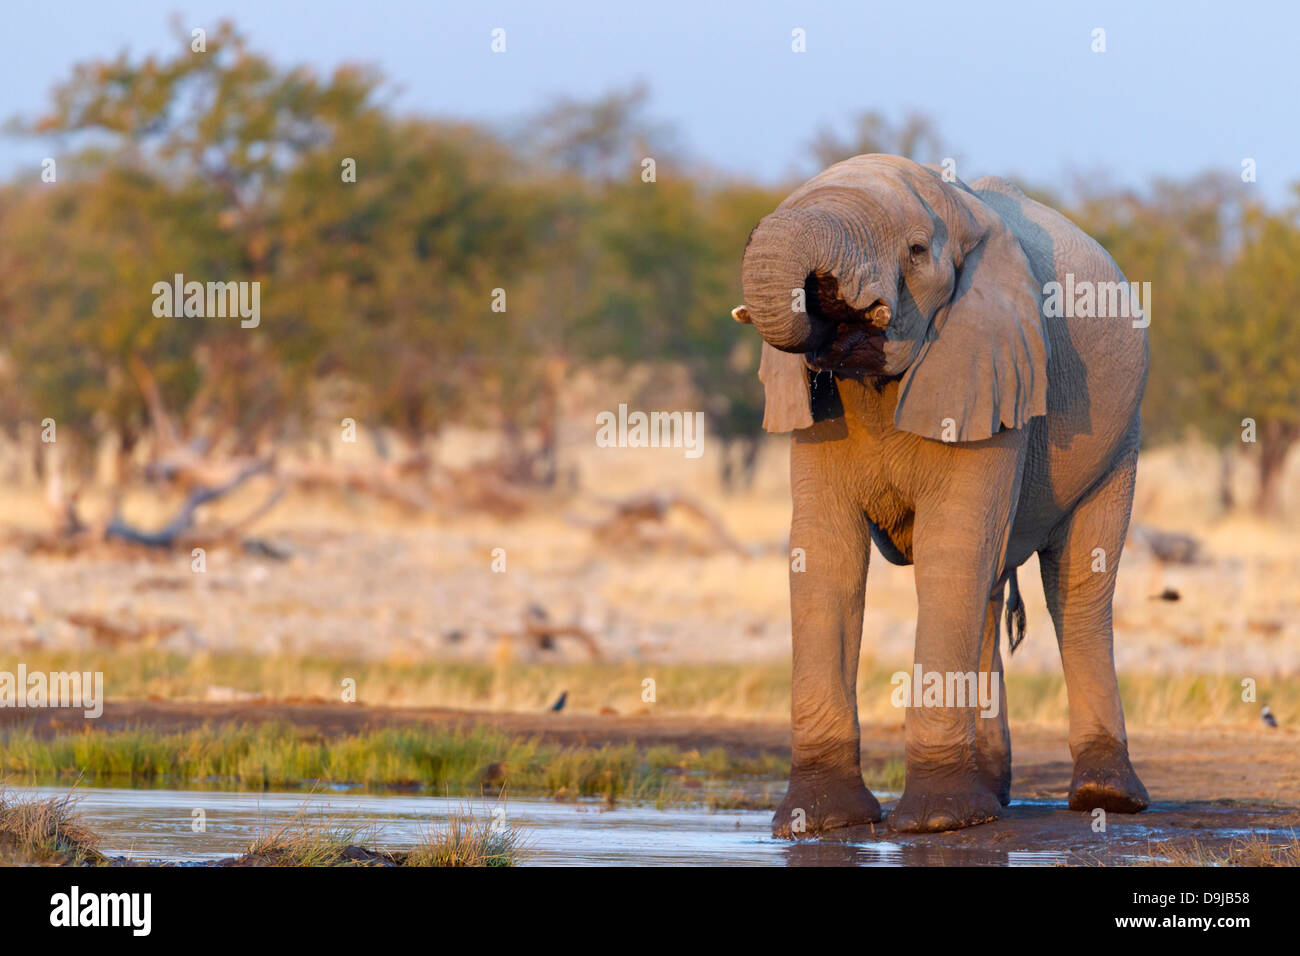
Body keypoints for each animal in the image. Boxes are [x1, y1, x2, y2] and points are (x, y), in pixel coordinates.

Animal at [731, 154, 1150, 835]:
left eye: (918, 251)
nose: (826, 290)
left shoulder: (991, 363)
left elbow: (951, 546)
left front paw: (936, 824)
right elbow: (825, 556)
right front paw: (818, 823)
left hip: (1121, 438)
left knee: (1078, 586)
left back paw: (1106, 798)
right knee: (989, 587)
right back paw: (992, 798)